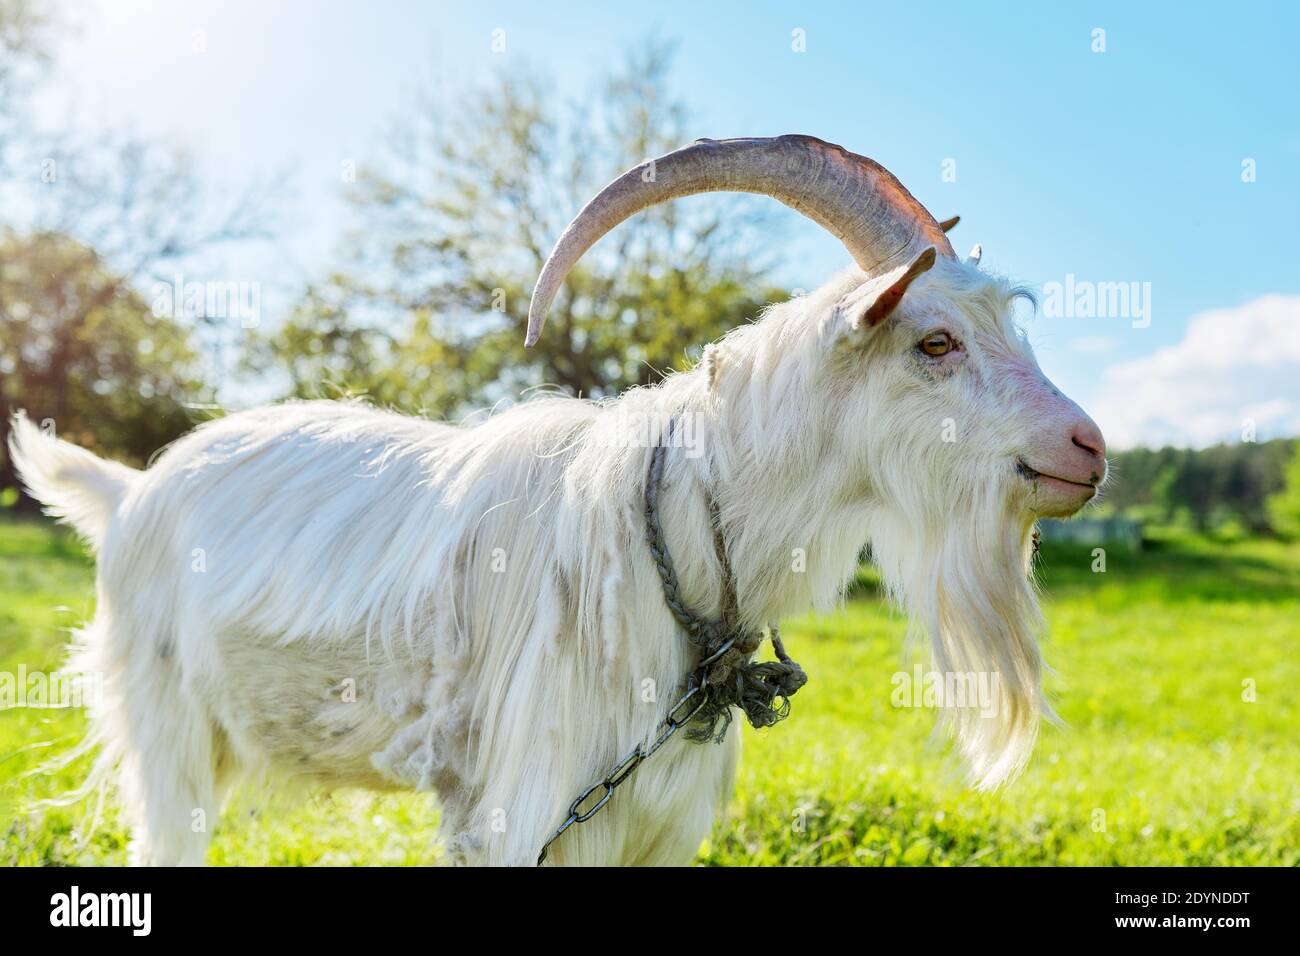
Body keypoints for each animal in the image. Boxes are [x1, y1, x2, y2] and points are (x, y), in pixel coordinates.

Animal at [10, 135, 1107, 866]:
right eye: (935, 341)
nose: (1087, 447)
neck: (679, 535)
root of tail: (130, 488)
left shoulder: (652, 820)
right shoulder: (527, 810)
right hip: (166, 735)